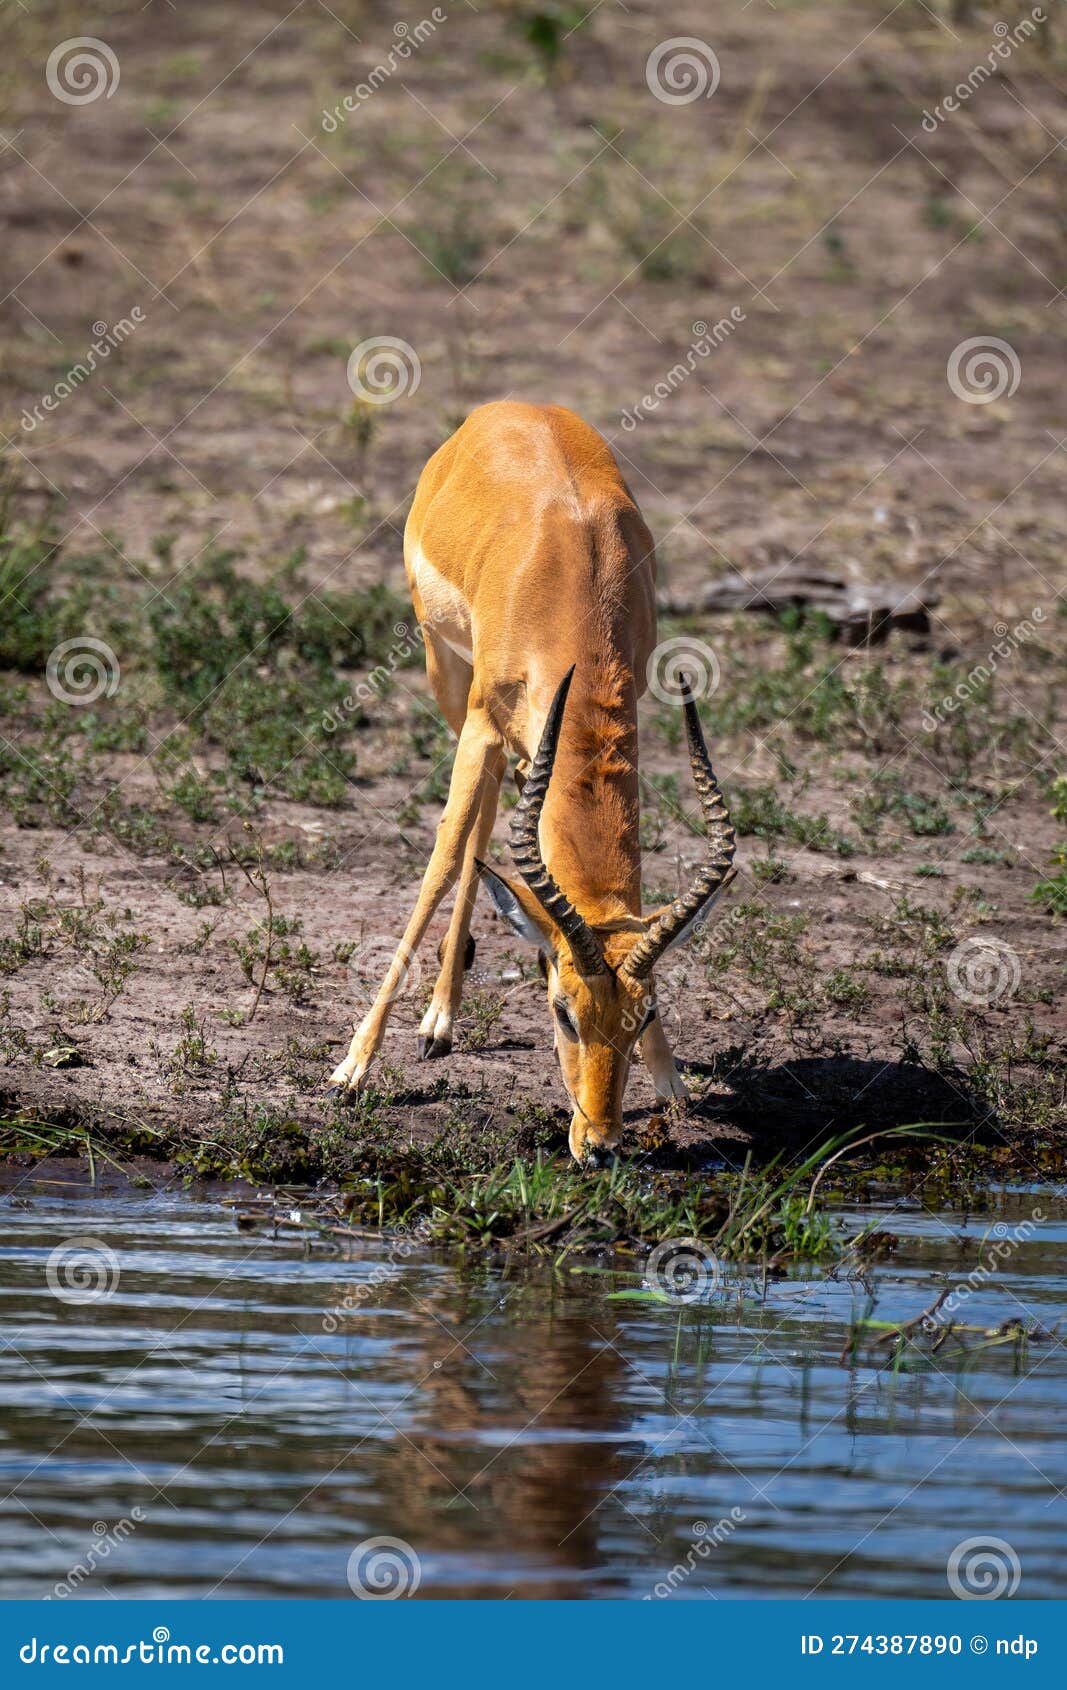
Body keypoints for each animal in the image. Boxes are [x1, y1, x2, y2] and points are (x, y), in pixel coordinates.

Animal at [328, 400, 736, 1163]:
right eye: (562, 1011)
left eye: (645, 1015)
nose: (600, 1145)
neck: (573, 574)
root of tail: (507, 409)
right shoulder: (481, 720)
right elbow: (442, 858)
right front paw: (352, 1068)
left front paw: (671, 1079)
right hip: (446, 677)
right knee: (475, 828)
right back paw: (436, 1023)